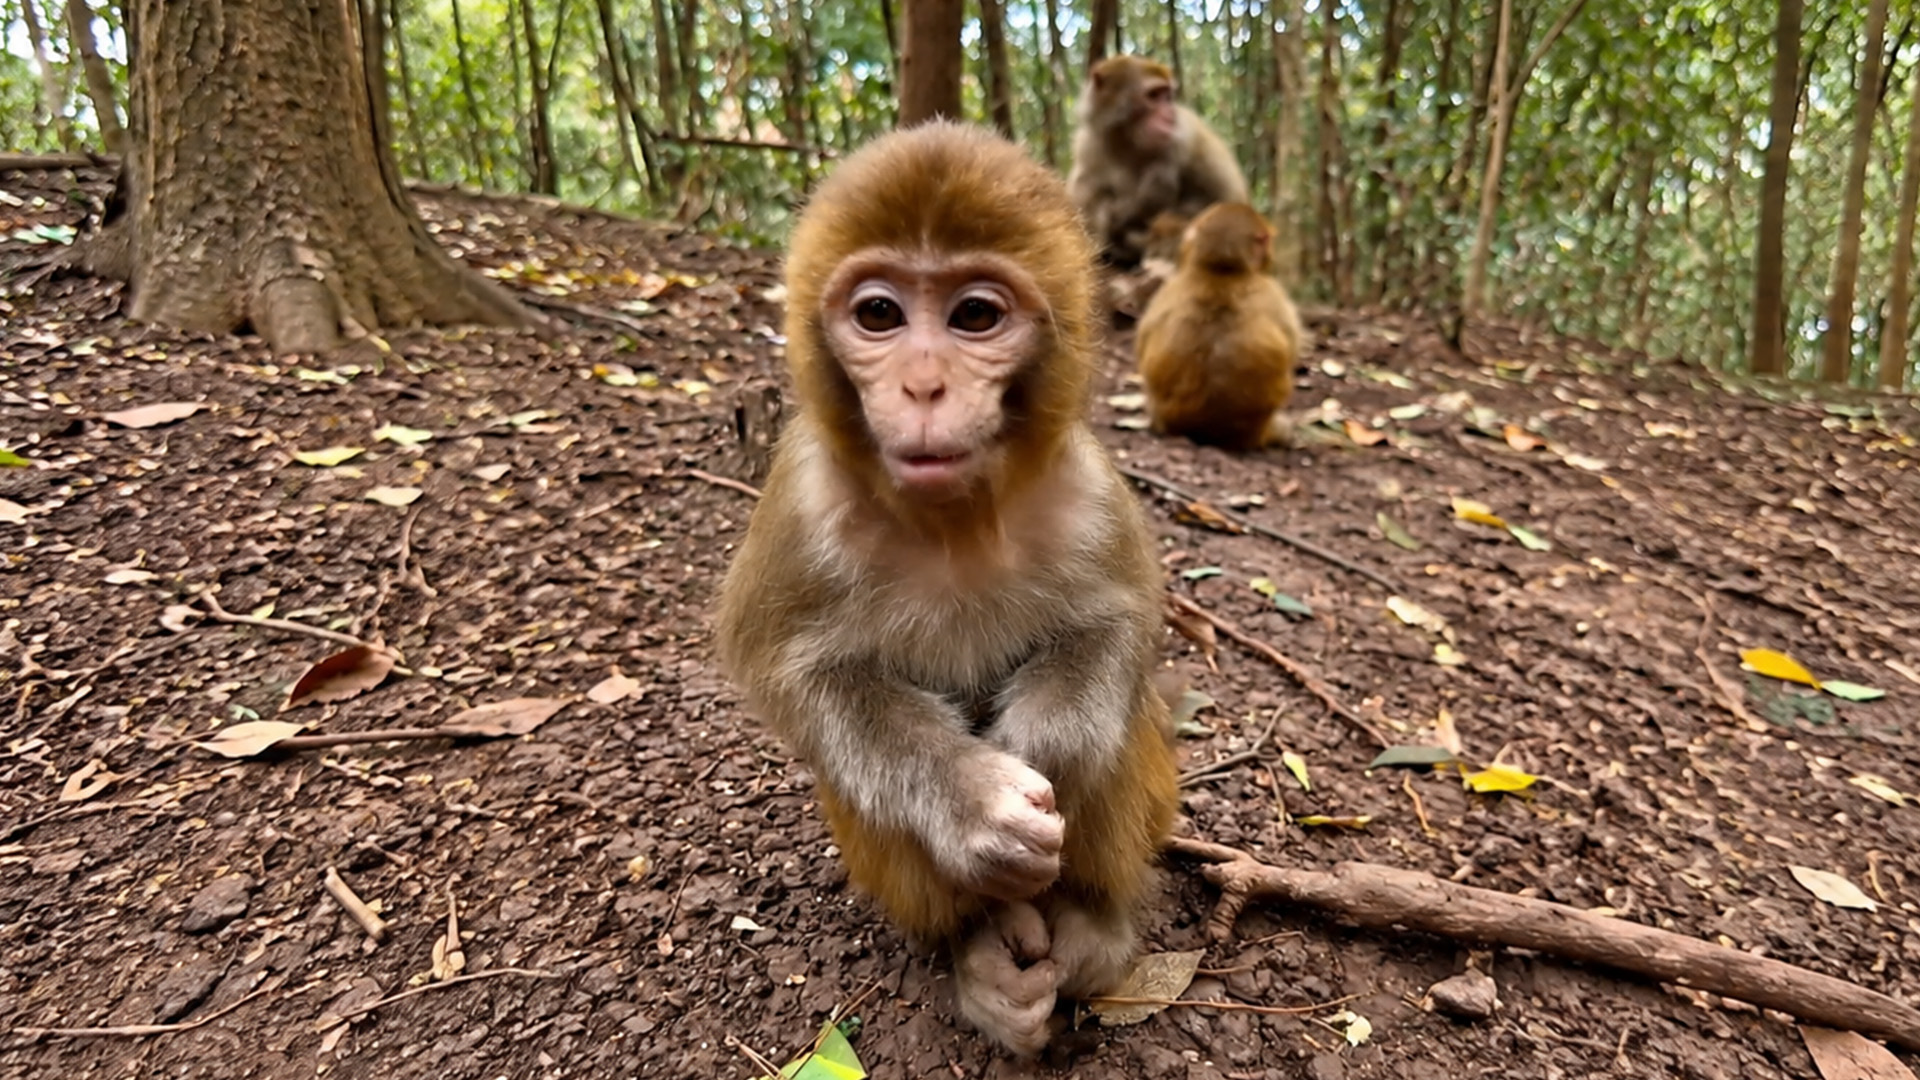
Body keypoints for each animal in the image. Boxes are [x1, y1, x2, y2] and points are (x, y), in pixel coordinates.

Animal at [715, 122, 1179, 1057]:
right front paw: (978, 808)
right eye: (879, 315)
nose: (924, 385)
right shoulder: (801, 500)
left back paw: (1094, 930)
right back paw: (982, 951)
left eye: (974, 317)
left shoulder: (1085, 487)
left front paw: (1047, 749)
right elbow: (789, 673)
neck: (954, 519)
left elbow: (1121, 623)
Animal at [1067, 55, 1249, 268]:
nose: (1170, 114)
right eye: (1154, 95)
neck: (1127, 141)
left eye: (1167, 96)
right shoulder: (1087, 145)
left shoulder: (1180, 139)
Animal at [1136, 202, 1302, 451]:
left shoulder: (1168, 290)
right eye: (1264, 241)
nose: (1269, 255)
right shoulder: (1273, 294)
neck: (1223, 272)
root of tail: (1207, 432)